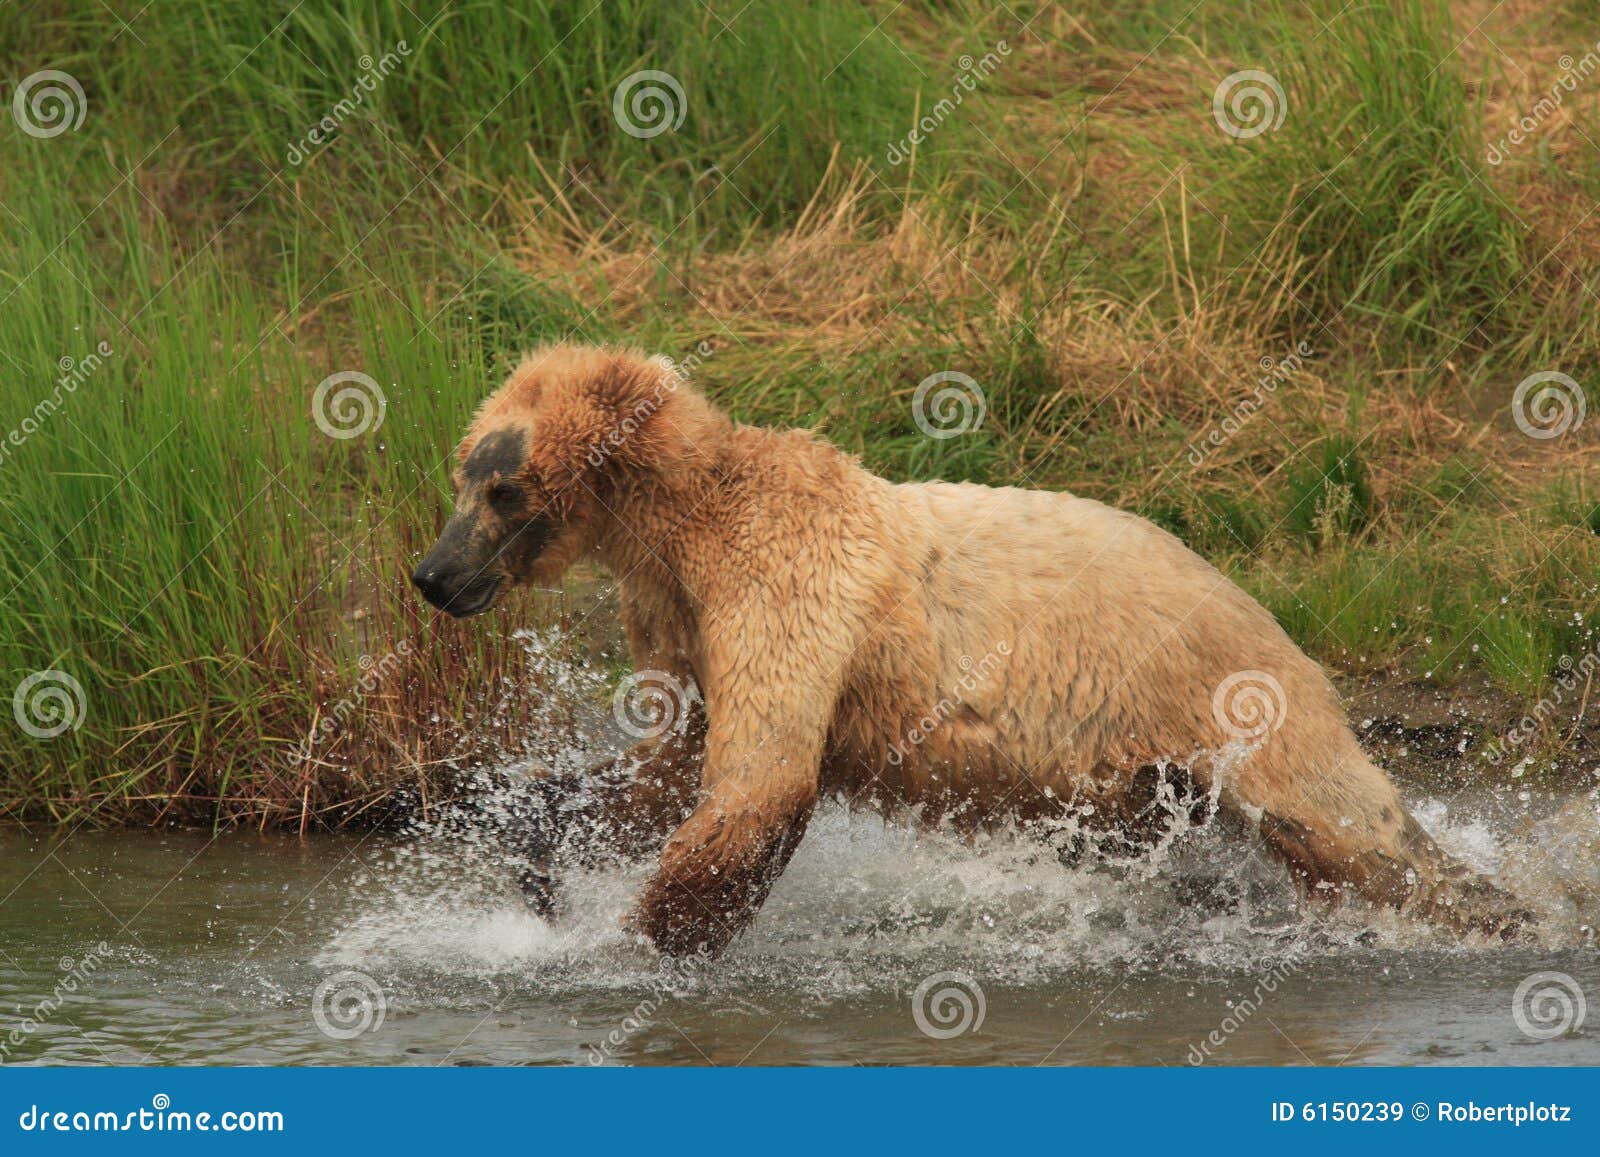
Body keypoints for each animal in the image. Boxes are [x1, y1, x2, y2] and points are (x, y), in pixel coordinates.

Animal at [411, 343, 1532, 957]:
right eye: (462, 471)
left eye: (500, 486)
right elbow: (665, 767)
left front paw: (638, 937)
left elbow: (760, 778)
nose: (431, 573)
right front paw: (539, 848)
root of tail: (1259, 604)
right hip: (1144, 773)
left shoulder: (778, 585)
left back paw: (1504, 909)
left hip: (1230, 696)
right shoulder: (680, 621)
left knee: (1353, 829)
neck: (680, 525)